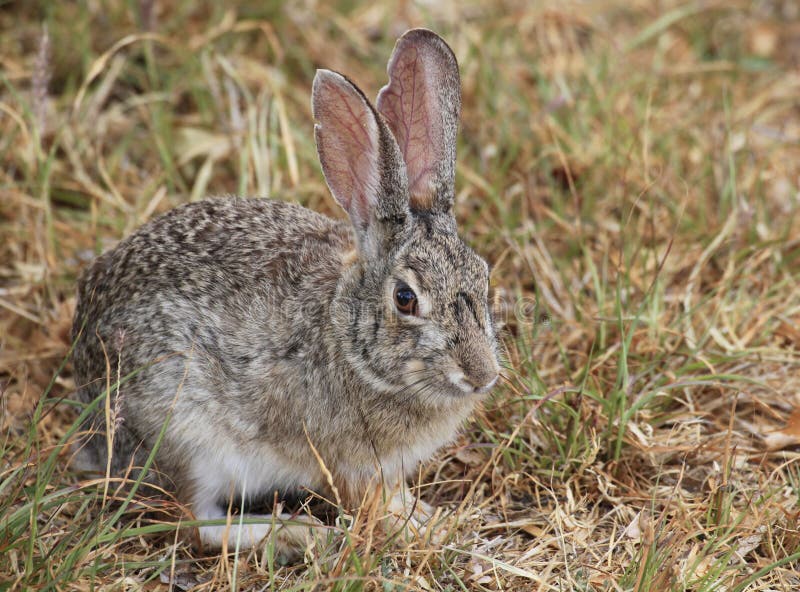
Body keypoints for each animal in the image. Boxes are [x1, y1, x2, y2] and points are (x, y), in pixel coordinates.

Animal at [71, 28, 500, 553]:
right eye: (405, 299)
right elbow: (374, 506)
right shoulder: (352, 463)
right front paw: (425, 529)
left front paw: (433, 517)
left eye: (483, 276)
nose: (482, 375)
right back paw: (298, 533)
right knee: (194, 523)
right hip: (185, 434)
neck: (349, 341)